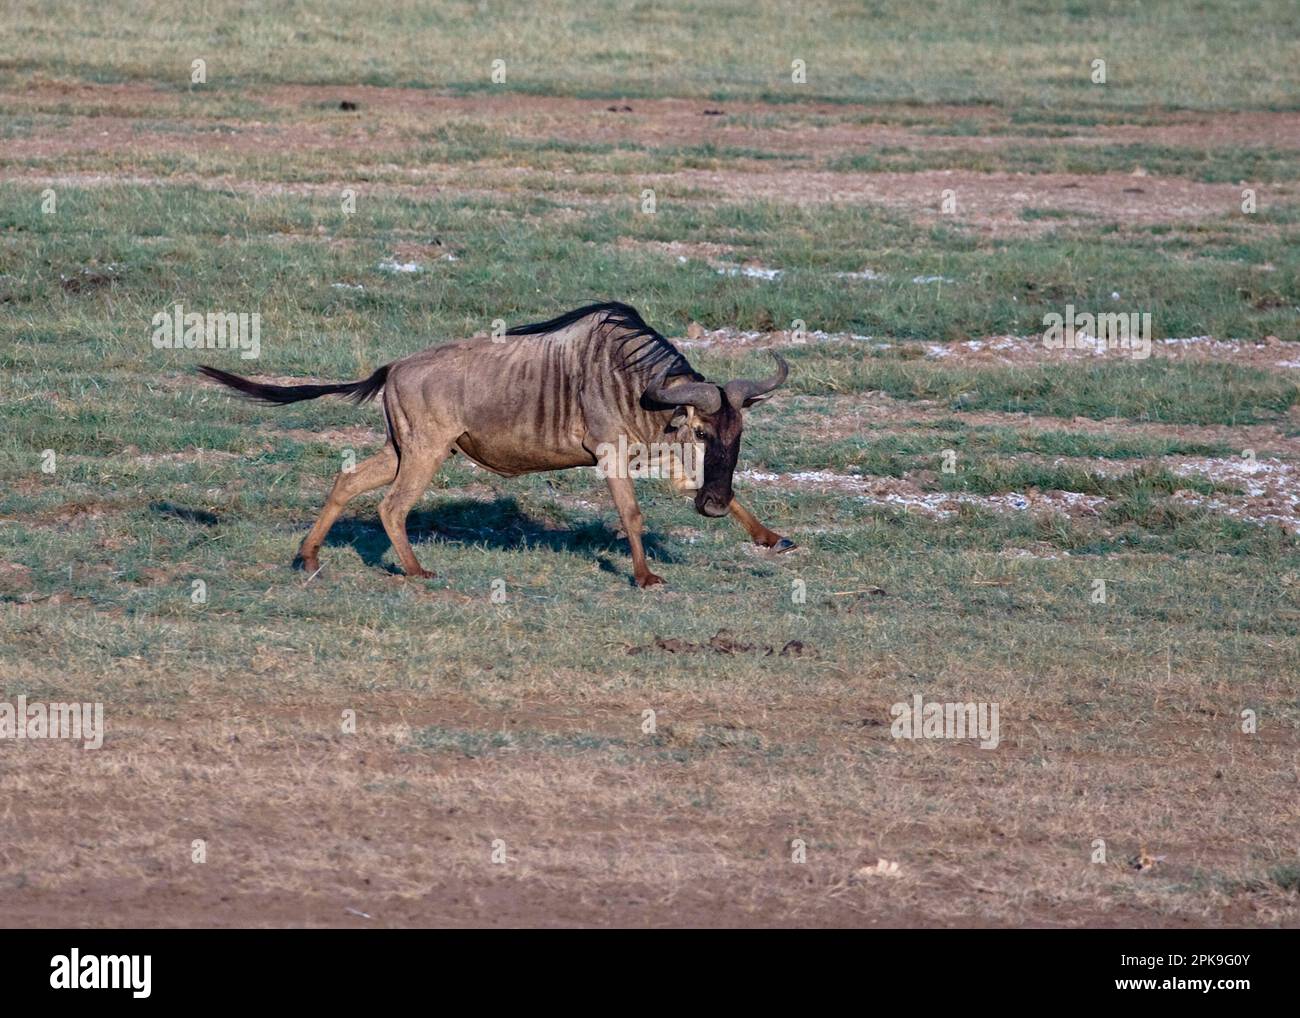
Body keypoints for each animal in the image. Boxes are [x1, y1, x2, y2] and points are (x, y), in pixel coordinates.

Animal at [198, 302, 794, 587]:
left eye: (737, 434)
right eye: (701, 431)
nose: (710, 507)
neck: (637, 384)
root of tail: (394, 368)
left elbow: (725, 494)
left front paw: (772, 538)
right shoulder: (611, 454)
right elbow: (632, 514)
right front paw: (645, 578)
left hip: (402, 449)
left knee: (348, 481)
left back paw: (308, 556)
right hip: (425, 452)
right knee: (393, 505)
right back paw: (416, 572)